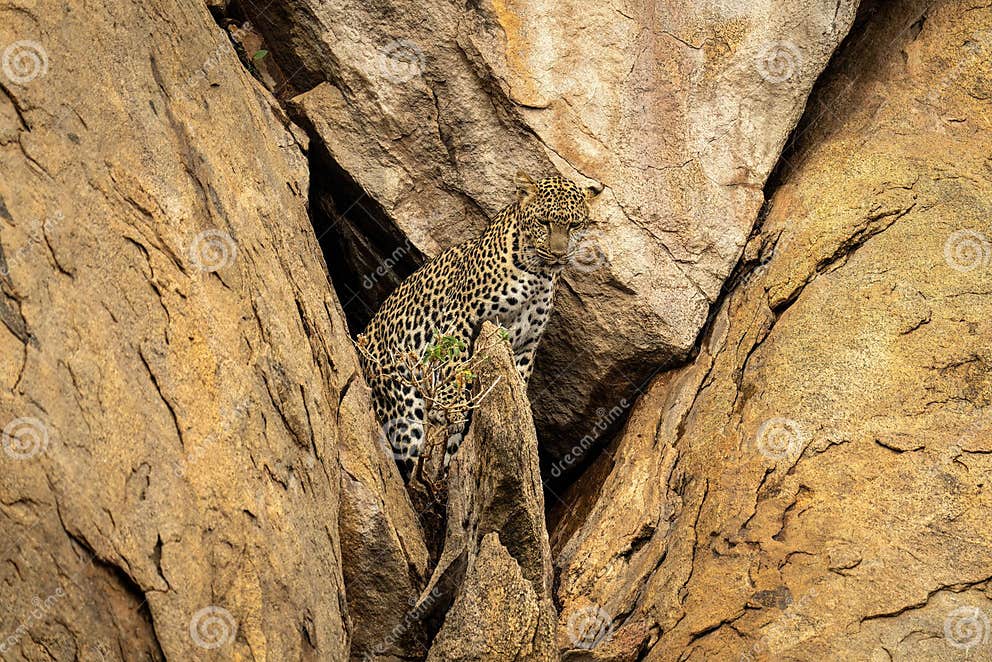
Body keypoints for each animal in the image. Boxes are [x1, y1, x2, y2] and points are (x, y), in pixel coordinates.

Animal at [357, 172, 602, 478]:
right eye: (544, 222)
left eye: (575, 224)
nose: (558, 254)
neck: (538, 273)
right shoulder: (461, 315)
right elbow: (453, 363)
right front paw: (451, 407)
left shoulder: (525, 343)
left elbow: (518, 379)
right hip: (402, 405)